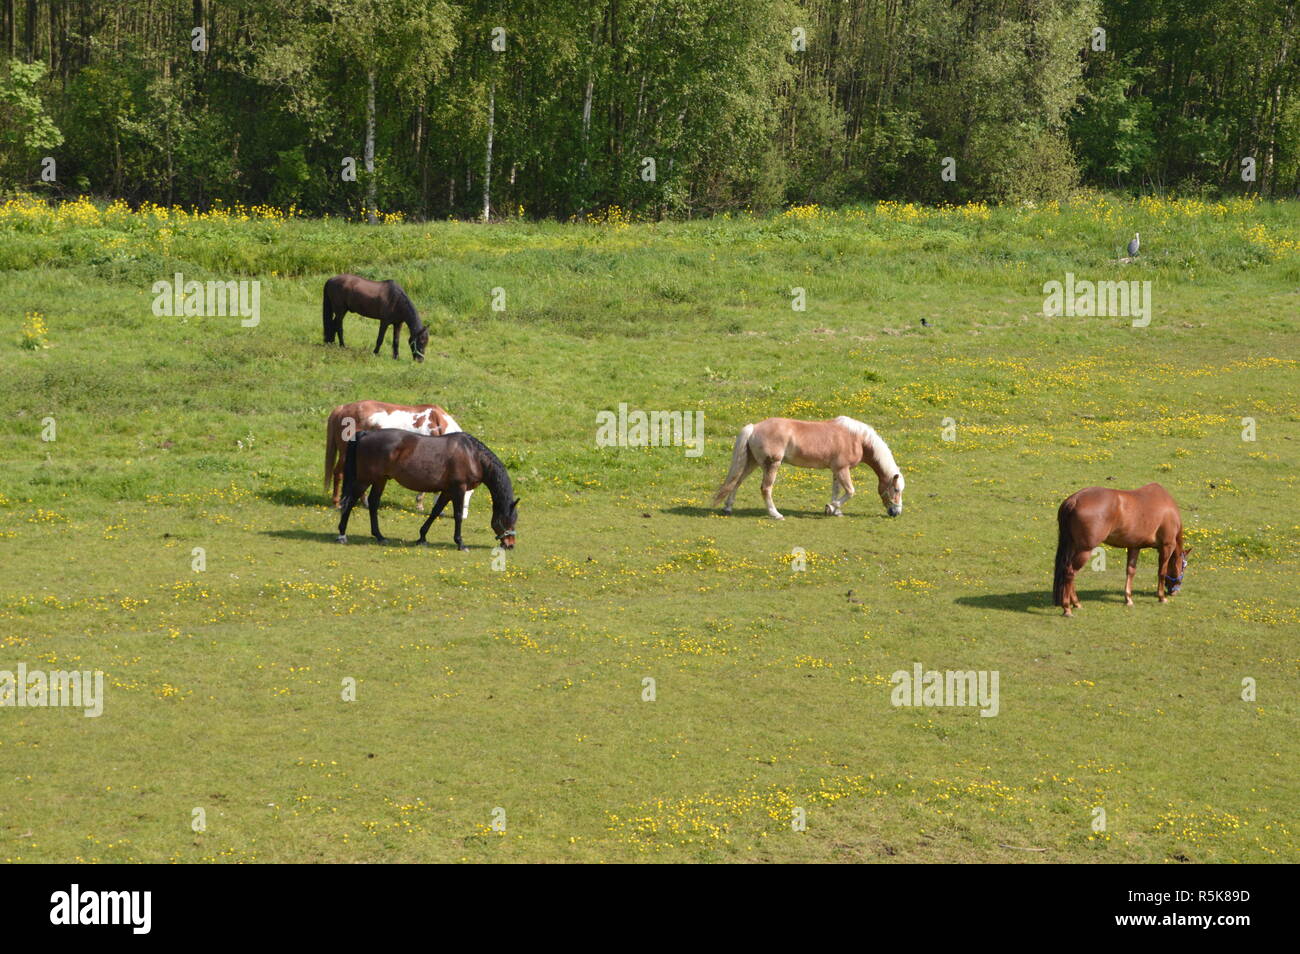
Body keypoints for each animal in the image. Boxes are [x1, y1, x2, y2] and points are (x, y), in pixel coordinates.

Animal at [324, 401, 472, 517]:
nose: (462, 516)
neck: (437, 423)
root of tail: (342, 408)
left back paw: (364, 502)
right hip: (346, 454)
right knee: (338, 473)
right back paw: (336, 503)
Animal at [338, 429, 518, 551]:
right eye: (508, 520)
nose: (510, 545)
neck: (472, 455)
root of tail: (365, 433)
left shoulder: (447, 491)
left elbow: (435, 512)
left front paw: (422, 537)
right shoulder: (459, 489)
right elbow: (458, 515)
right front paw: (460, 543)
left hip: (380, 480)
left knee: (374, 503)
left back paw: (380, 537)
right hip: (365, 480)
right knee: (350, 502)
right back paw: (342, 535)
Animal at [713, 416, 904, 520]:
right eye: (895, 489)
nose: (896, 512)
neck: (857, 439)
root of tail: (754, 428)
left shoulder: (837, 471)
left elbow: (836, 490)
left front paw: (835, 511)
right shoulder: (843, 469)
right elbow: (850, 491)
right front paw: (830, 508)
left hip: (752, 463)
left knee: (737, 481)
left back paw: (728, 507)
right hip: (772, 465)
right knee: (765, 488)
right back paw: (776, 514)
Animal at [1053, 483, 1190, 617]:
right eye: (1184, 566)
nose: (1174, 592)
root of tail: (1074, 500)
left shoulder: (1134, 546)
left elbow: (1130, 571)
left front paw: (1128, 599)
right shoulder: (1167, 546)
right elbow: (1161, 572)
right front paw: (1161, 597)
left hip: (1073, 547)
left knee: (1068, 571)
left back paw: (1076, 603)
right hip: (1084, 550)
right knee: (1070, 572)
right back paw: (1067, 608)